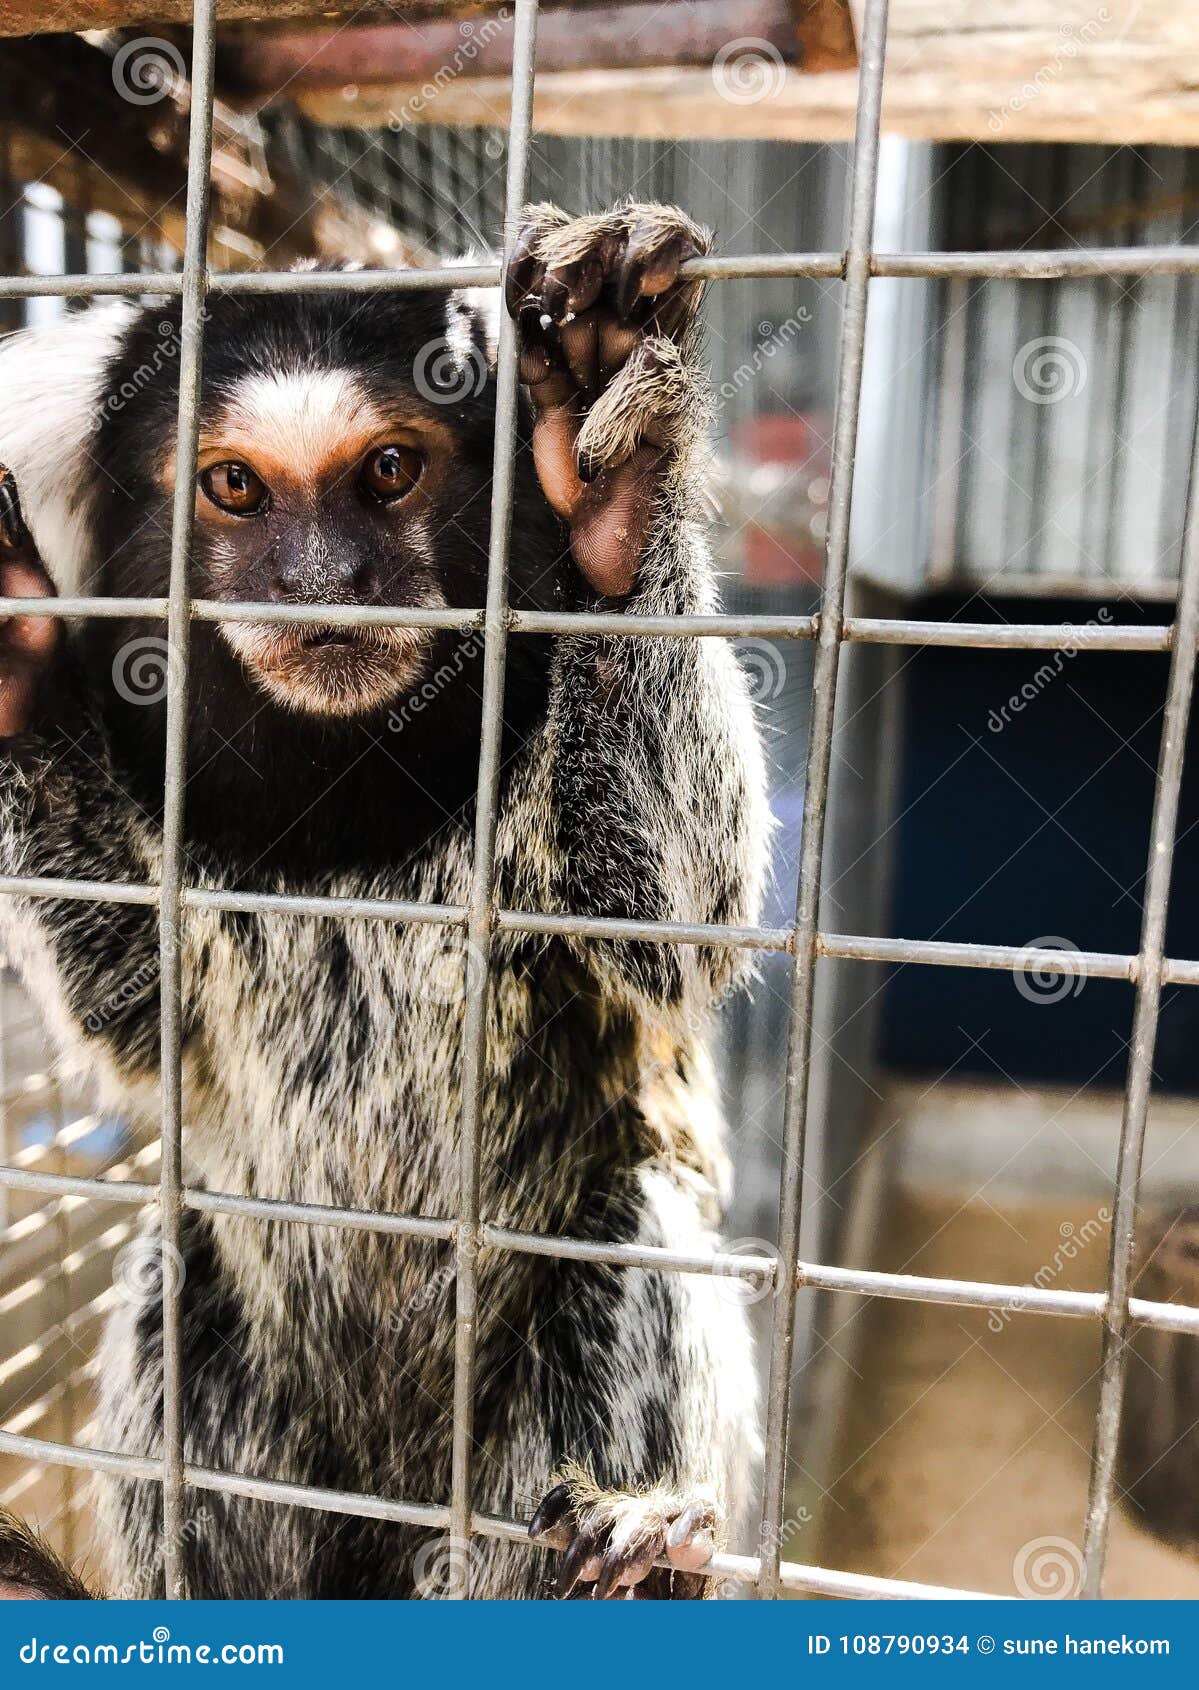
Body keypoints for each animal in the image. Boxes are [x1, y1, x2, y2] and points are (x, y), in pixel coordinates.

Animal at [0, 202, 770, 1600]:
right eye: (234, 485)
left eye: (392, 471)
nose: (320, 580)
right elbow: (130, 1003)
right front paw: (17, 659)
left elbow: (671, 925)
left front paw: (615, 501)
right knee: (182, 1272)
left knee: (626, 1233)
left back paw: (620, 1551)